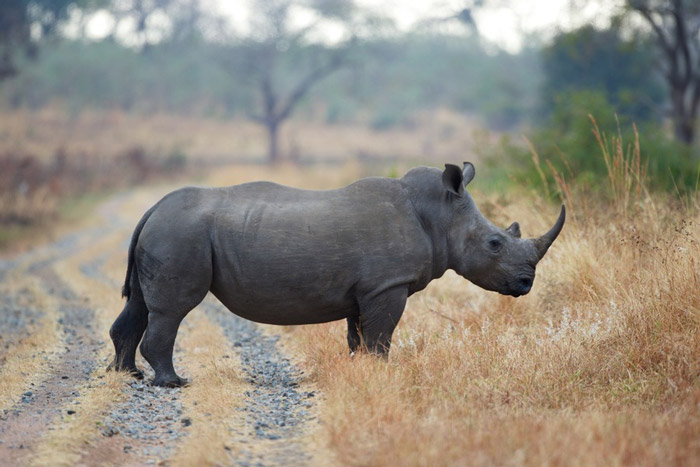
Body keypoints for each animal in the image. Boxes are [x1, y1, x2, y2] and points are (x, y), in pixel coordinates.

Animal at [108, 163, 565, 387]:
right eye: (495, 244)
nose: (526, 284)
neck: (439, 214)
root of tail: (152, 208)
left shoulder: (367, 288)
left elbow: (358, 334)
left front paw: (360, 369)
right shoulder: (389, 284)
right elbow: (381, 334)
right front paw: (382, 373)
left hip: (170, 229)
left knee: (141, 305)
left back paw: (127, 374)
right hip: (180, 233)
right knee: (172, 310)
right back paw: (172, 383)